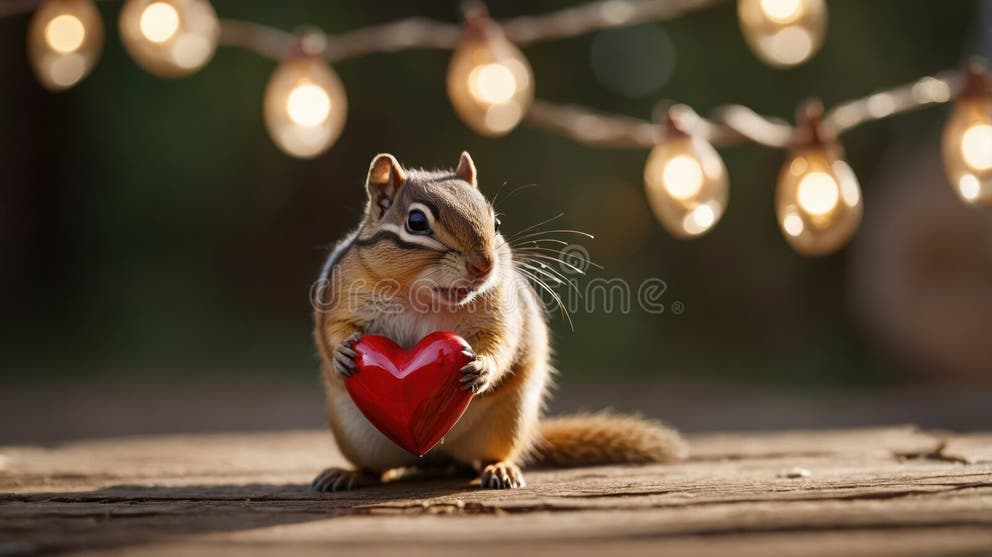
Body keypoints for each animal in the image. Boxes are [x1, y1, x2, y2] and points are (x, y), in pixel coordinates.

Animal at [312, 152, 688, 491]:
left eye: (496, 224)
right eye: (416, 222)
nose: (485, 265)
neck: (423, 298)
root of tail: (434, 455)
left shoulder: (499, 310)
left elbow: (501, 341)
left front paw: (482, 367)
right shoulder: (343, 296)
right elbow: (334, 330)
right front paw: (343, 353)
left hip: (508, 422)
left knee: (488, 457)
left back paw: (500, 470)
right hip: (360, 440)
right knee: (378, 471)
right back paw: (347, 475)